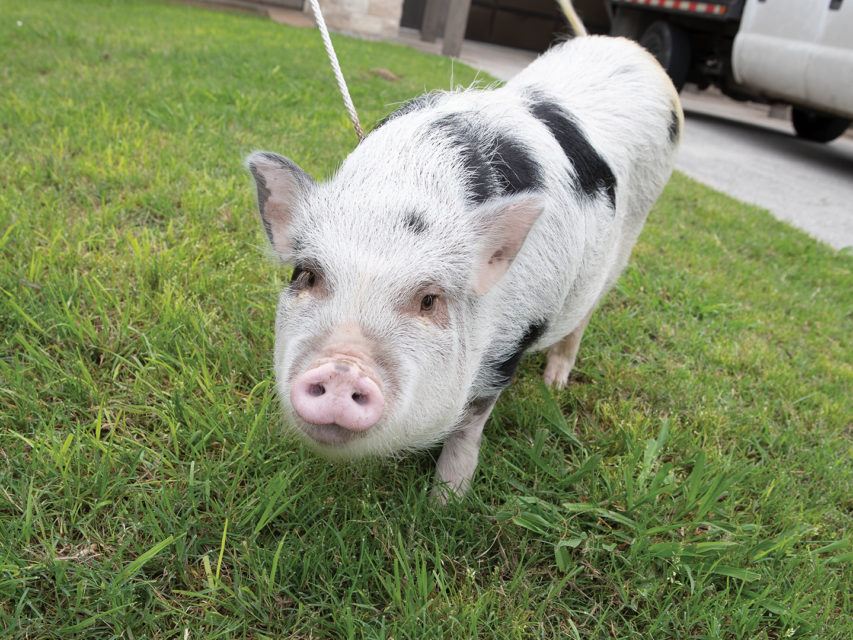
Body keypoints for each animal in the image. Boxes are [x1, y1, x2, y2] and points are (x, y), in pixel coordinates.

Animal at [247, 34, 682, 500]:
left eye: (429, 299)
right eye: (306, 274)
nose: (344, 369)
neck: (405, 186)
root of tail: (634, 50)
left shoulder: (506, 349)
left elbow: (471, 423)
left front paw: (447, 499)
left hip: (628, 238)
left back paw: (554, 383)